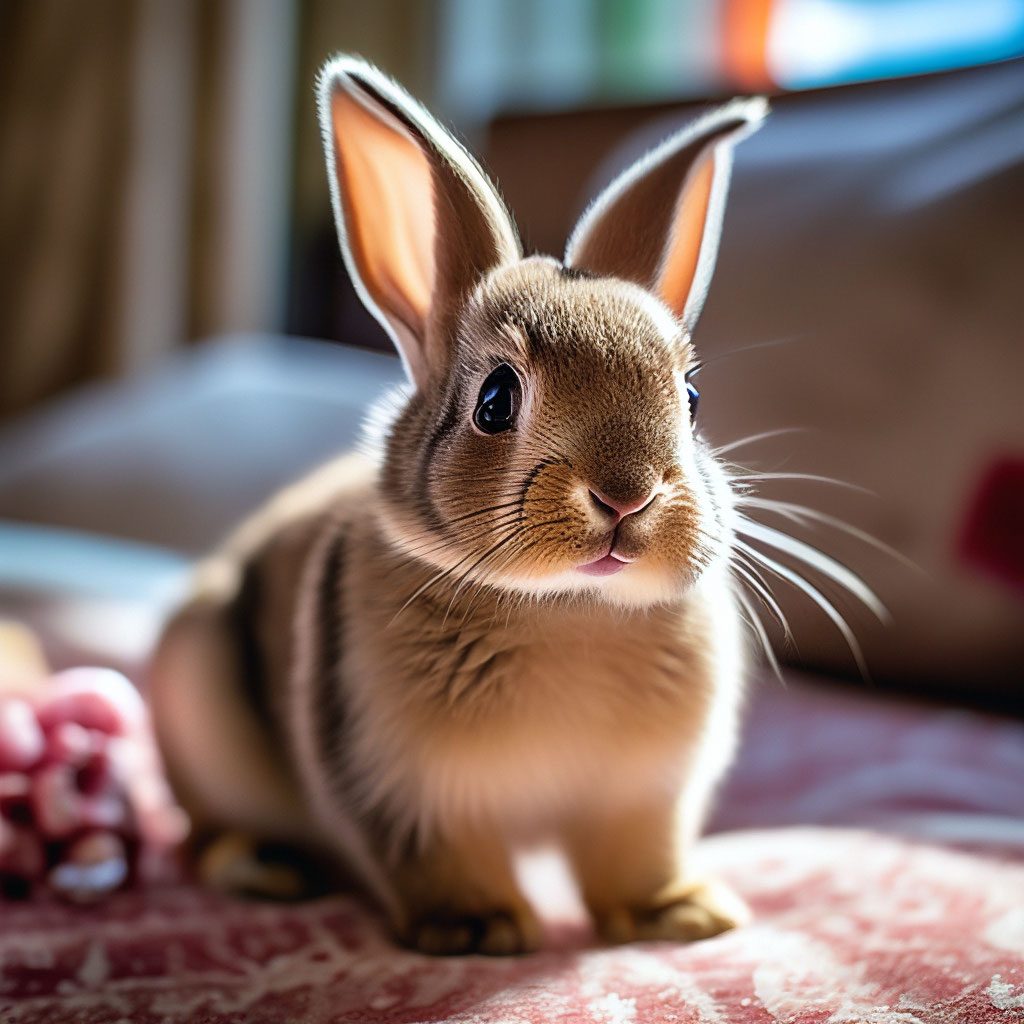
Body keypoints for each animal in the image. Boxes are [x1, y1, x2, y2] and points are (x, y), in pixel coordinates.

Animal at [149, 55, 768, 956]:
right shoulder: (404, 794)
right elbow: (442, 862)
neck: (569, 609)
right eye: (496, 400)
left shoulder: (643, 797)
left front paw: (681, 917)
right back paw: (266, 868)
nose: (626, 494)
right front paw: (481, 932)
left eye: (689, 399)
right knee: (197, 837)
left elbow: (636, 861)